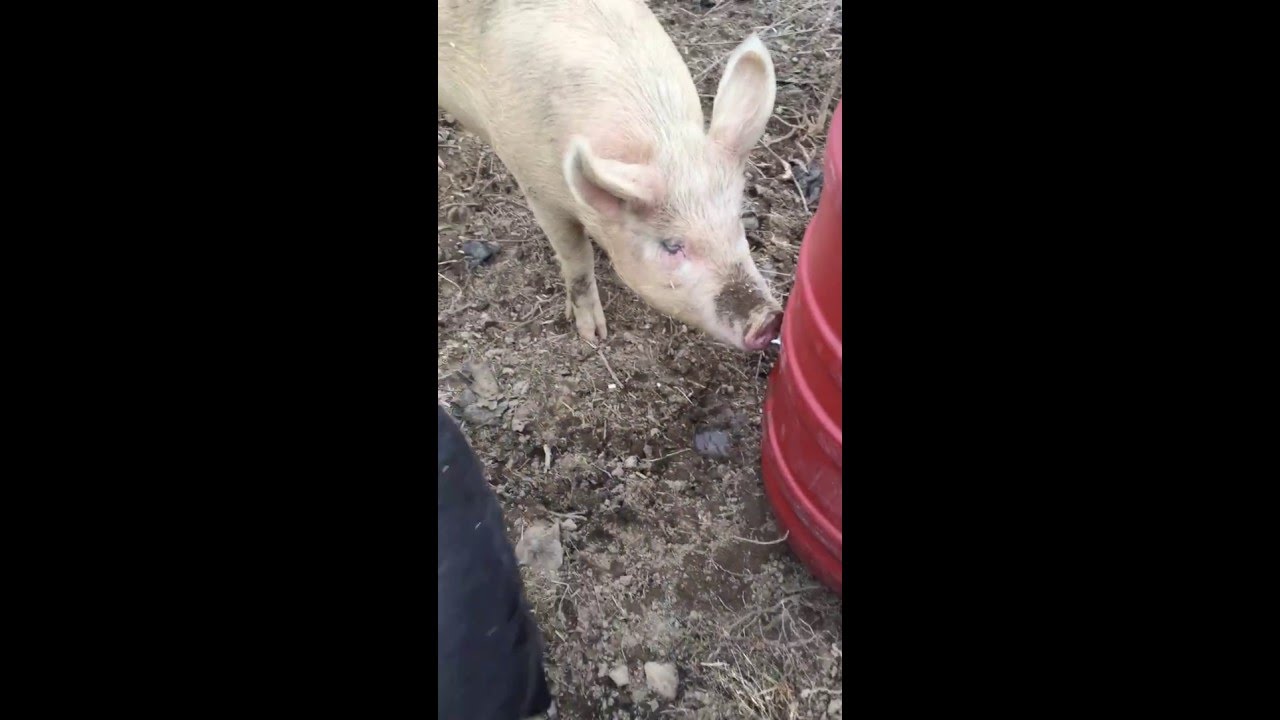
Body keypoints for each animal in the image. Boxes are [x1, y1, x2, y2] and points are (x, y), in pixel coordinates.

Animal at [439, 0, 783, 351]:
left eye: (737, 220)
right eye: (672, 245)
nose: (768, 318)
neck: (661, 142)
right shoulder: (537, 188)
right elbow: (575, 256)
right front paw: (593, 335)